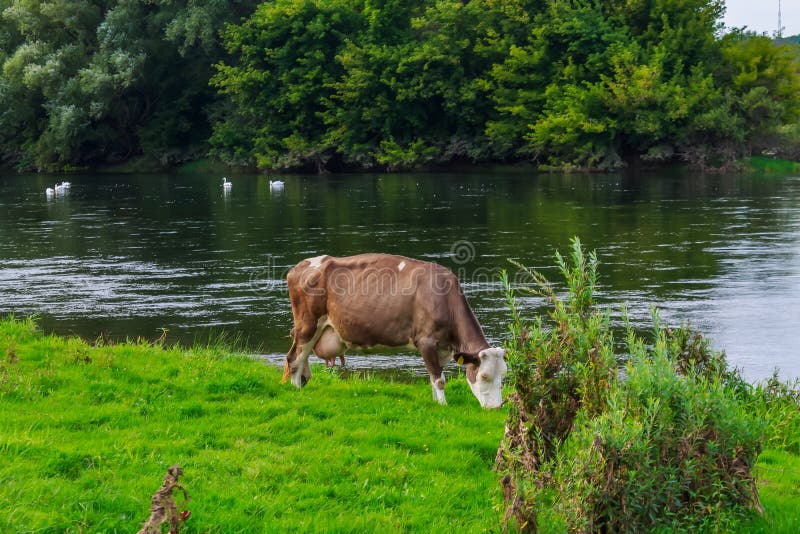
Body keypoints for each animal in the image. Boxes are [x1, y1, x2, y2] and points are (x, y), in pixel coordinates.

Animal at [281, 253, 506, 408]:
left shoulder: (439, 347)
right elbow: (439, 379)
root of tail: (299, 267)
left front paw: (435, 403)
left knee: (301, 356)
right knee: (294, 358)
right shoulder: (426, 341)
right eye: (484, 376)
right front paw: (443, 405)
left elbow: (433, 376)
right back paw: (296, 390)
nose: (496, 408)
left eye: (503, 376)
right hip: (308, 324)